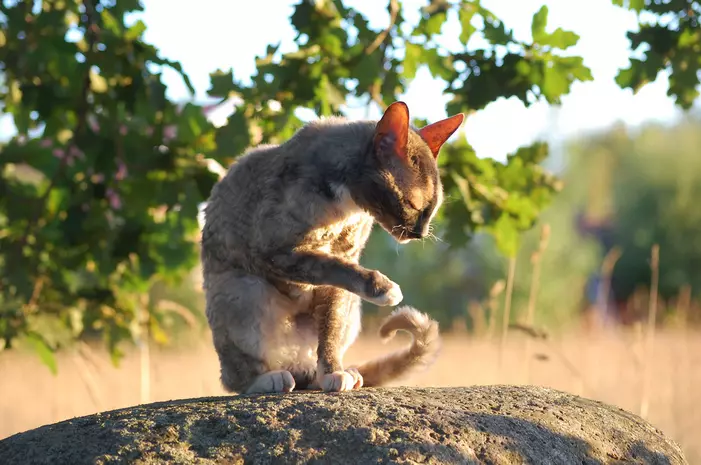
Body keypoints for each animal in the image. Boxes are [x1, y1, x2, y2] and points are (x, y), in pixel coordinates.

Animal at [200, 100, 462, 392]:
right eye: (413, 205)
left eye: (433, 210)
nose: (419, 233)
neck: (345, 211)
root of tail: (294, 363)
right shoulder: (275, 252)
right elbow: (332, 267)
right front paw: (384, 288)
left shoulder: (343, 264)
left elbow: (330, 328)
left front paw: (333, 372)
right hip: (244, 289)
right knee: (234, 377)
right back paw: (268, 379)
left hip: (351, 308)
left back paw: (337, 375)